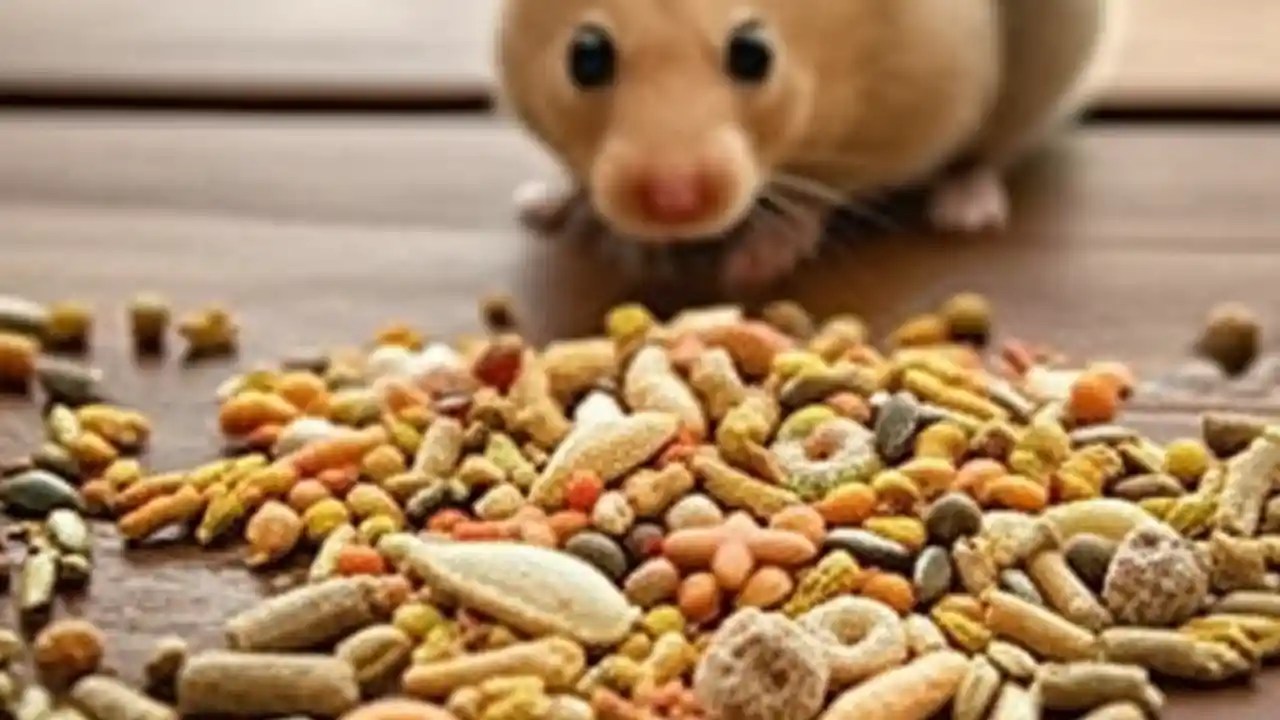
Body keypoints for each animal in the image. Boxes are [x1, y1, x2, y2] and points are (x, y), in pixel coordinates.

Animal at [496, 0, 1126, 290]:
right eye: (586, 56)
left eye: (753, 54)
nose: (675, 203)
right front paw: (635, 252)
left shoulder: (912, 112)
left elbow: (821, 192)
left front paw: (753, 267)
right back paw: (542, 205)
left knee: (994, 151)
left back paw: (966, 212)